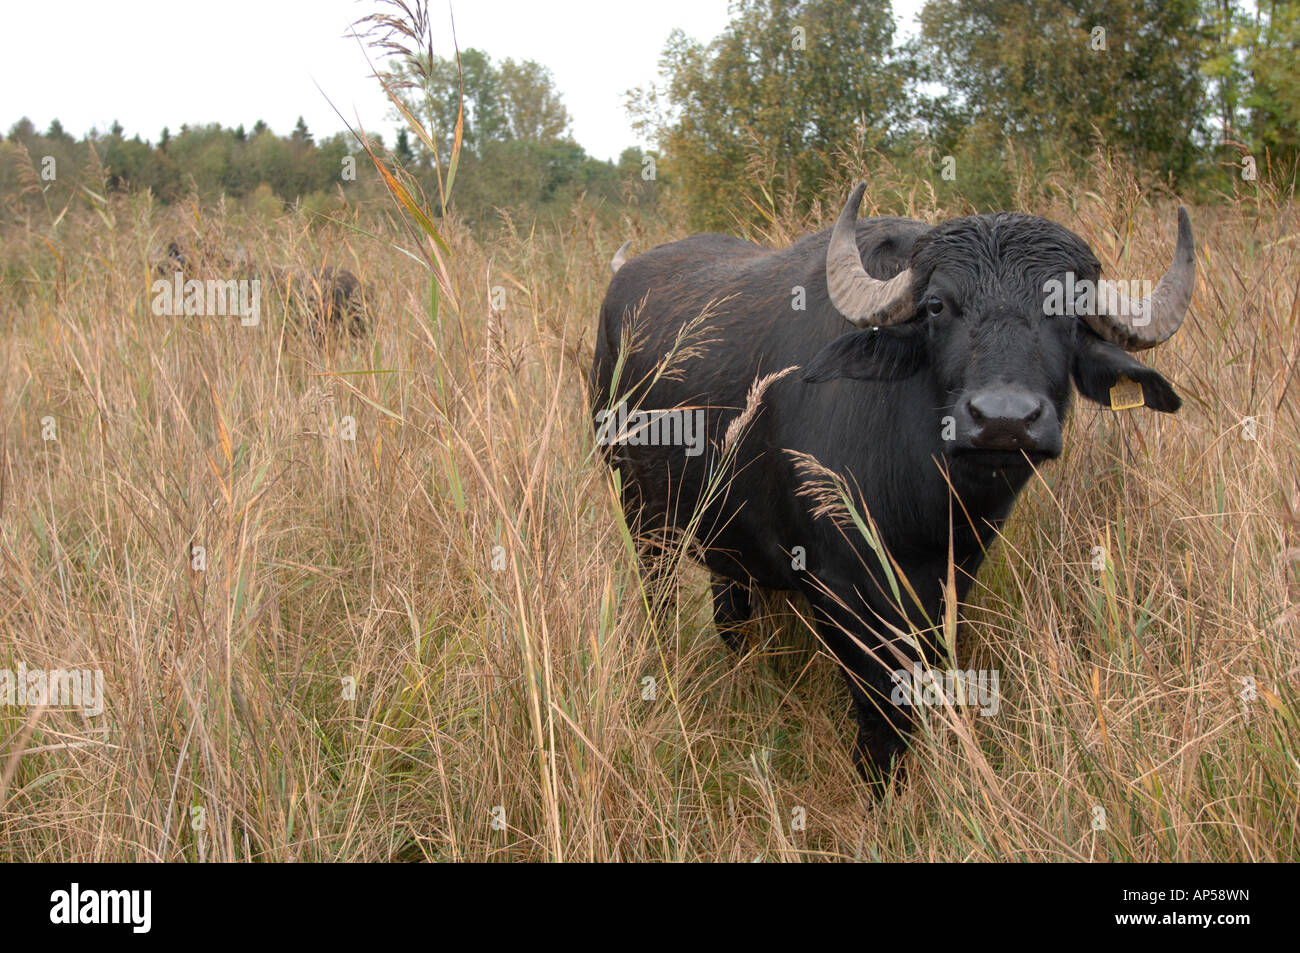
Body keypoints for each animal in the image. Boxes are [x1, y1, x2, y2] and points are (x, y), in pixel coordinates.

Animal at [590, 182, 1194, 782]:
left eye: (1069, 309)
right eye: (937, 306)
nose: (1004, 420)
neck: (926, 504)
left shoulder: (950, 582)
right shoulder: (839, 590)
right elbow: (881, 715)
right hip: (640, 515)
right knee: (660, 596)